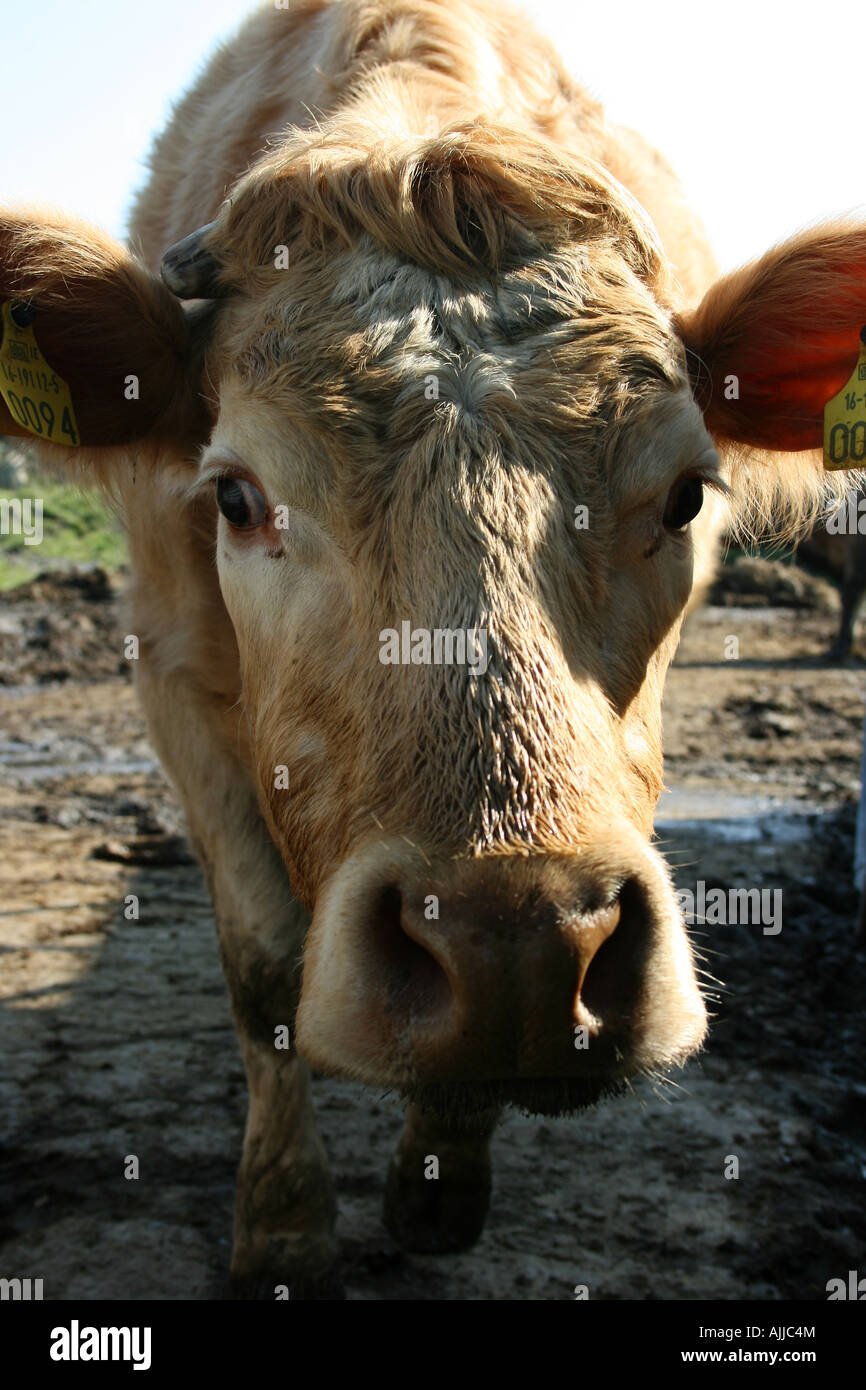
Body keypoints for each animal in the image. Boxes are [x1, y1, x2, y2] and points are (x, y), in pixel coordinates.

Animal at [1, 0, 863, 1298]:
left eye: (683, 496)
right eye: (237, 499)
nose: (518, 946)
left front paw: (439, 1181)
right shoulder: (168, 671)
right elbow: (263, 969)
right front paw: (284, 1228)